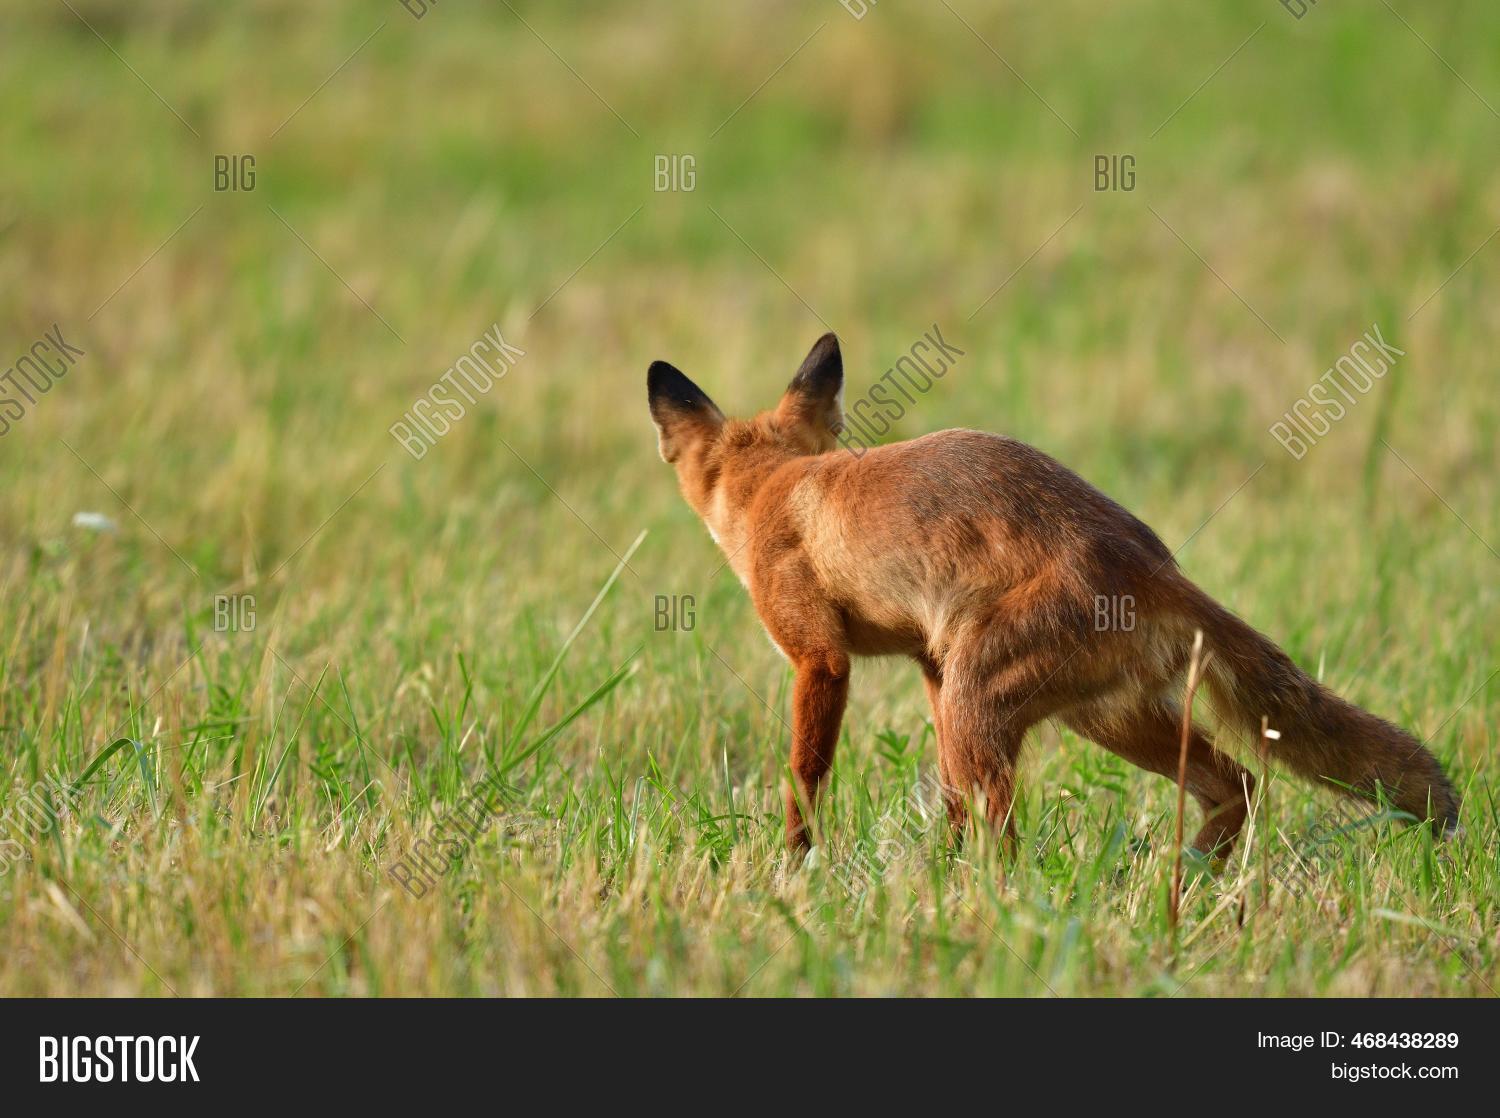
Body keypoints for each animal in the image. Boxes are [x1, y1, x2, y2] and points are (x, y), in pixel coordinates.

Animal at [647, 332, 1460, 858]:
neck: (777, 486)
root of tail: (1152, 562)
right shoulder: (930, 662)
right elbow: (946, 796)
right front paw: (929, 866)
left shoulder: (823, 660)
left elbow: (806, 776)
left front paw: (795, 862)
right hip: (1098, 716)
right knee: (1240, 783)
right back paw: (1180, 876)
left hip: (989, 701)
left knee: (1012, 834)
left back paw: (1001, 897)